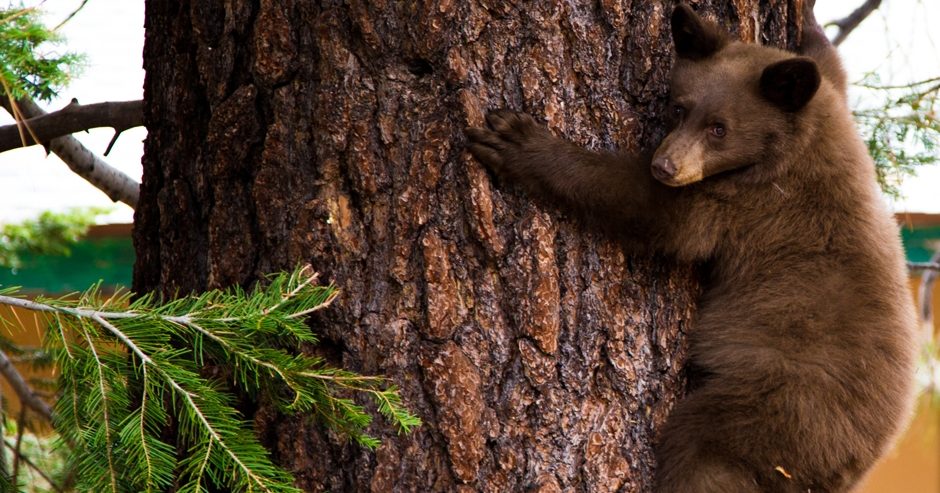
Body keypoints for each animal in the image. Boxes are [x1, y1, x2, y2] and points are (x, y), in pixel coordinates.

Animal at [465, 3, 917, 492]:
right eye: (679, 107)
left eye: (719, 128)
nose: (665, 166)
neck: (801, 143)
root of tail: (858, 463)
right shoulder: (831, 101)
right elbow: (830, 63)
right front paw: (811, 21)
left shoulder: (742, 204)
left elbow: (648, 209)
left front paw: (519, 143)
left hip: (779, 409)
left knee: (702, 451)